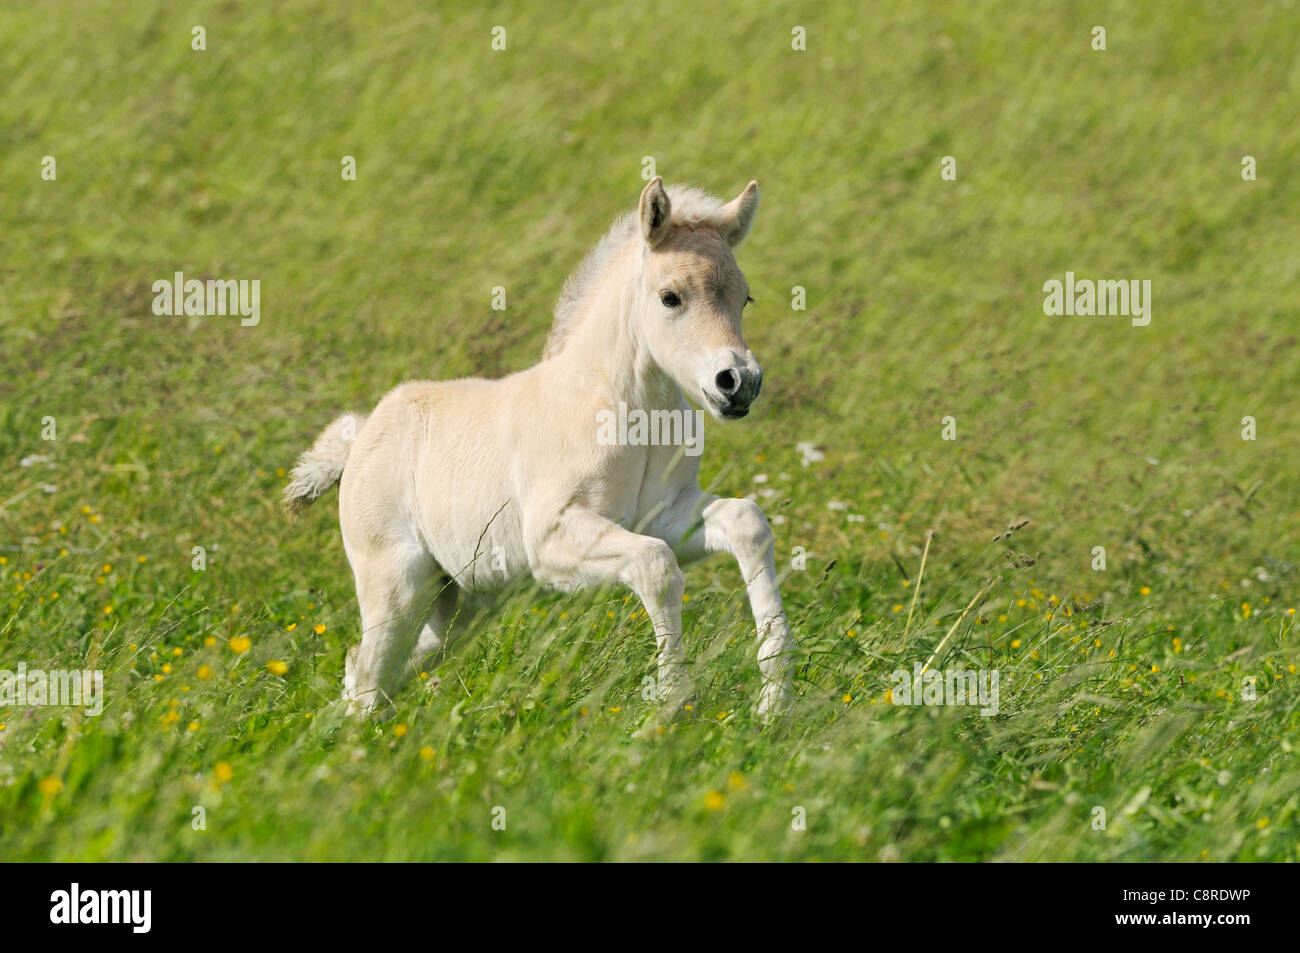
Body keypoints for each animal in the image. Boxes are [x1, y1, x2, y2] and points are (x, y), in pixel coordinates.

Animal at [284, 177, 795, 721]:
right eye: (670, 297)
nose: (738, 383)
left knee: (377, 665)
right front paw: (673, 704)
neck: (620, 411)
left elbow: (746, 522)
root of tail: (360, 435)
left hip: (459, 603)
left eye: (745, 298)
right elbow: (657, 567)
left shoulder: (665, 516)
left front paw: (774, 702)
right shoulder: (552, 541)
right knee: (369, 674)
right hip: (395, 587)